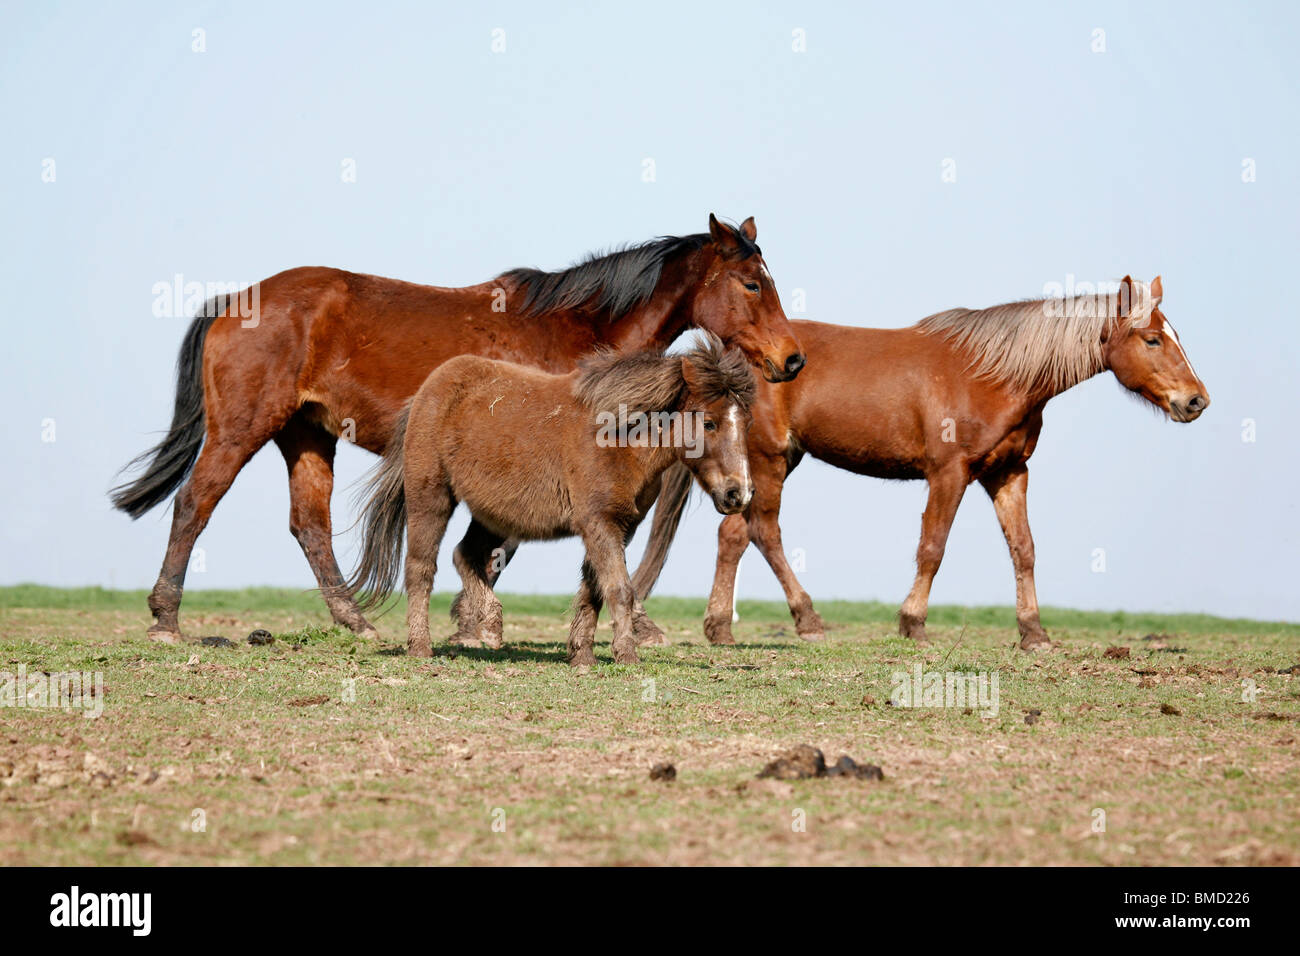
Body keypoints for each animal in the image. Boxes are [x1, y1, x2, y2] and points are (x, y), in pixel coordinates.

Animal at [345, 334, 756, 665]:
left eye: (746, 424)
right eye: (709, 422)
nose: (739, 493)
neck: (620, 437)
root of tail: (427, 390)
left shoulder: (620, 526)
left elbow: (594, 590)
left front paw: (582, 655)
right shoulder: (599, 522)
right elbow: (619, 589)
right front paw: (626, 654)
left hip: (493, 515)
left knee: (464, 555)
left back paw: (491, 625)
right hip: (430, 498)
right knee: (420, 568)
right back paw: (421, 647)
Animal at [630, 276, 1209, 651]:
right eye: (1152, 338)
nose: (1196, 400)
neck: (995, 375)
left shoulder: (1008, 473)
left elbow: (1023, 550)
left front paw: (1034, 633)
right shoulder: (949, 474)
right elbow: (933, 547)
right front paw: (912, 623)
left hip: (771, 463)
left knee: (737, 535)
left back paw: (728, 628)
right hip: (768, 461)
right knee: (761, 533)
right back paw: (799, 622)